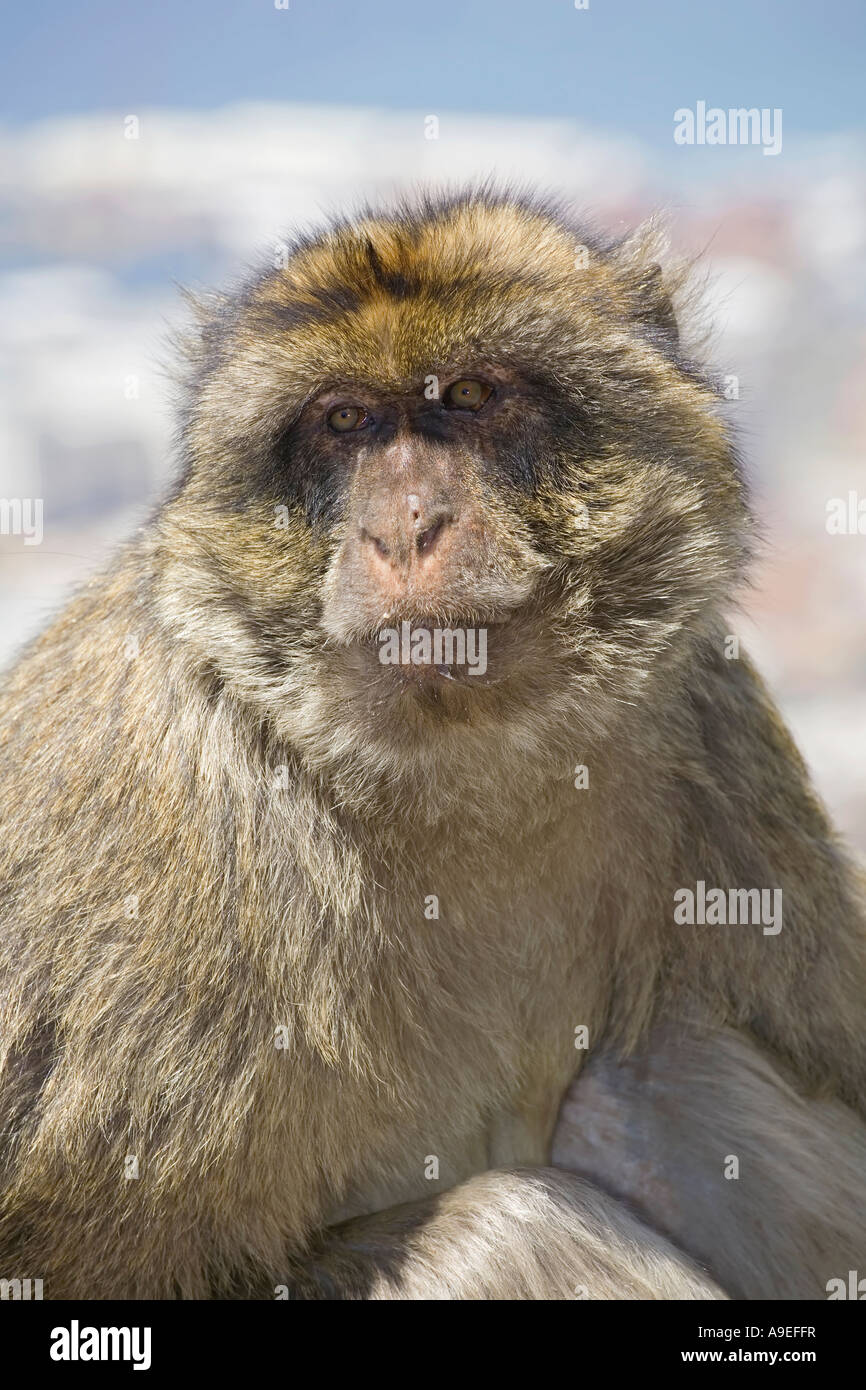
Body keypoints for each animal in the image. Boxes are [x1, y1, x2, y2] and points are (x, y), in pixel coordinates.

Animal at [0, 187, 864, 1300]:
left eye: (470, 394)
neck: (451, 773)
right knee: (510, 1230)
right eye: (343, 422)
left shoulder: (711, 713)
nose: (405, 526)